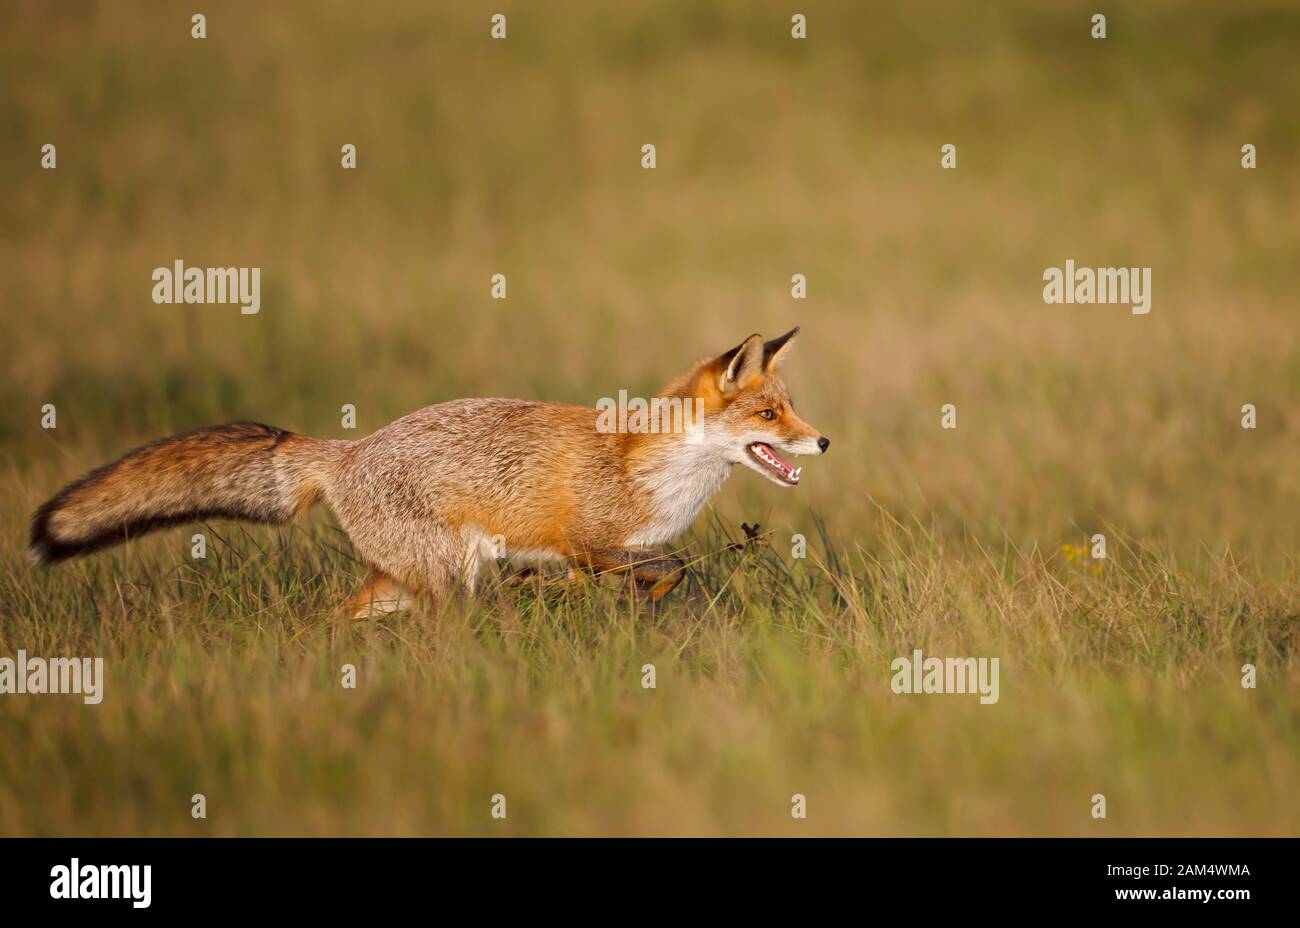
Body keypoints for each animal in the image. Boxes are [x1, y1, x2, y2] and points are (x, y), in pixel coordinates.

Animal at [28, 327, 828, 616]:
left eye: (792, 408)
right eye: (770, 416)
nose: (822, 442)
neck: (658, 468)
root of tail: (346, 451)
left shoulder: (609, 546)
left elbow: (667, 572)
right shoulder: (584, 538)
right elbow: (667, 569)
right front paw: (618, 602)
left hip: (411, 578)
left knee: (339, 618)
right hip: (445, 580)